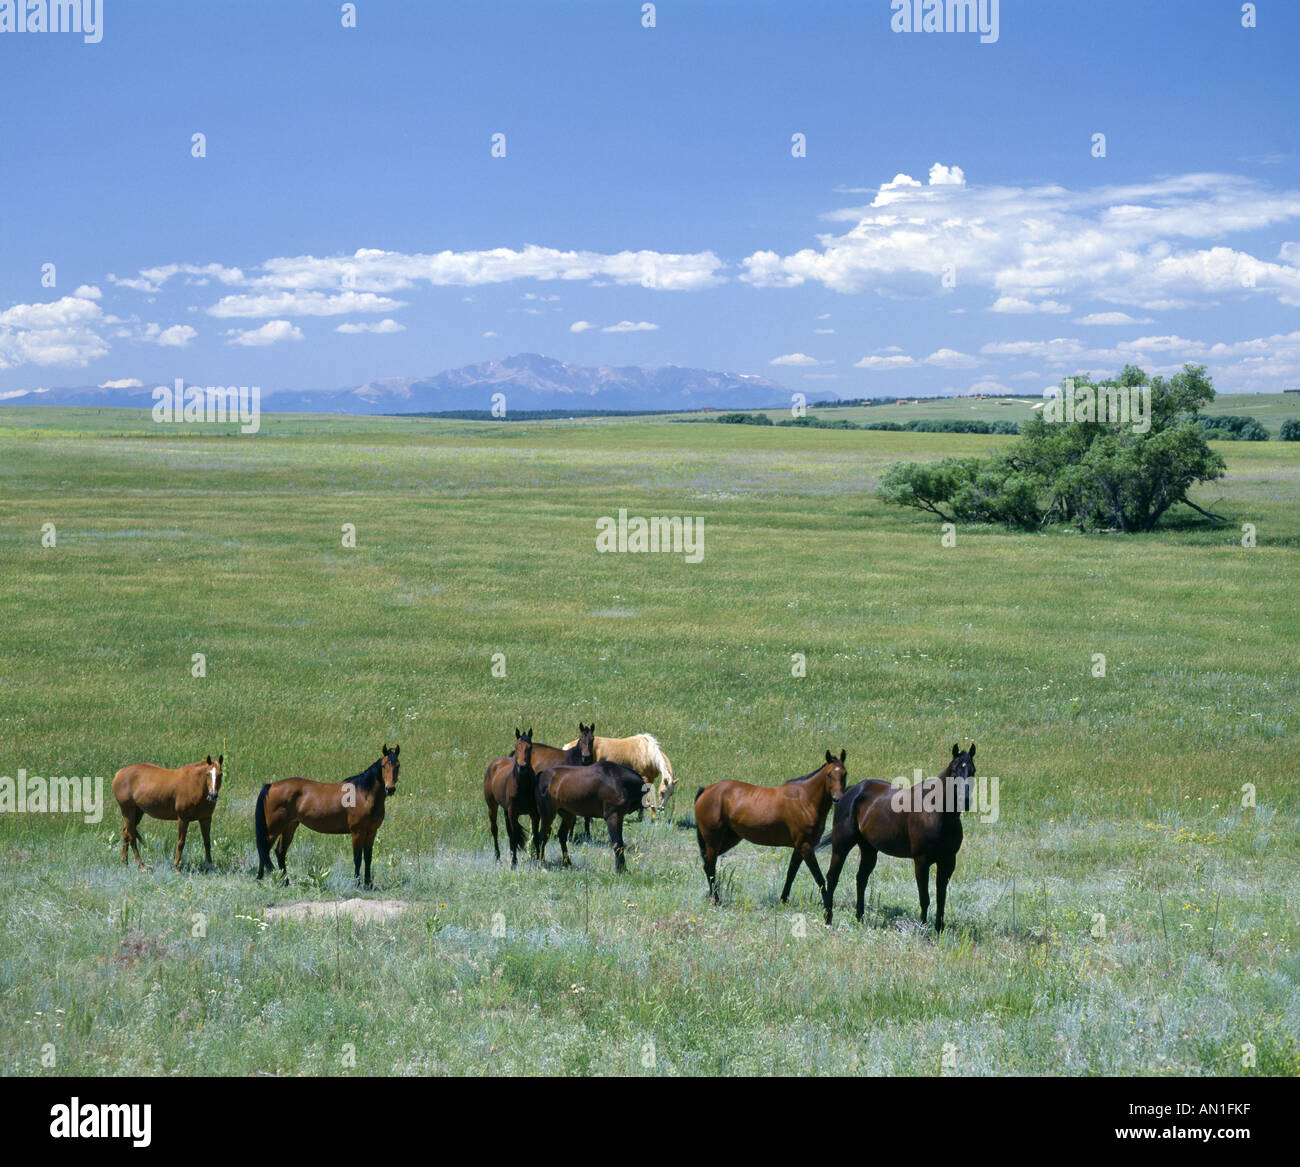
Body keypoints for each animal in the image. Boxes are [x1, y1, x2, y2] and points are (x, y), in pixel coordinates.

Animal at [254, 745, 399, 888]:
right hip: (273, 829)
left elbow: (368, 858)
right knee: (264, 850)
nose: (390, 789)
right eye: (384, 766)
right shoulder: (357, 832)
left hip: (289, 827)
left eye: (398, 765)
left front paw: (368, 884)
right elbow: (357, 858)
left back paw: (285, 881)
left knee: (280, 852)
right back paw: (260, 879)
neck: (363, 794)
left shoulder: (371, 832)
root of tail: (271, 785)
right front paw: (357, 884)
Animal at [483, 725, 594, 865]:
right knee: (495, 829)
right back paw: (498, 857)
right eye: (516, 746)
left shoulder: (534, 813)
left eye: (592, 739)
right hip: (492, 806)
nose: (522, 767)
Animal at [694, 750, 847, 910]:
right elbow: (819, 877)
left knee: (707, 865)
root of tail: (706, 790)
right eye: (829, 774)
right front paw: (827, 904)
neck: (805, 800)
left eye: (845, 773)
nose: (838, 799)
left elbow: (791, 873)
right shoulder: (806, 846)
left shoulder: (799, 847)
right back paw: (716, 900)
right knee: (710, 867)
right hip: (713, 841)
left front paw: (783, 900)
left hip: (727, 840)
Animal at [824, 743, 975, 933]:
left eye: (973, 770)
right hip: (841, 846)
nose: (966, 800)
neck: (937, 814)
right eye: (954, 770)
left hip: (869, 849)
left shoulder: (948, 862)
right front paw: (923, 930)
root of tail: (850, 791)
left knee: (861, 879)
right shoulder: (921, 861)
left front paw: (939, 929)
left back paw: (860, 918)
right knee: (832, 877)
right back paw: (828, 919)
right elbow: (924, 898)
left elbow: (941, 898)